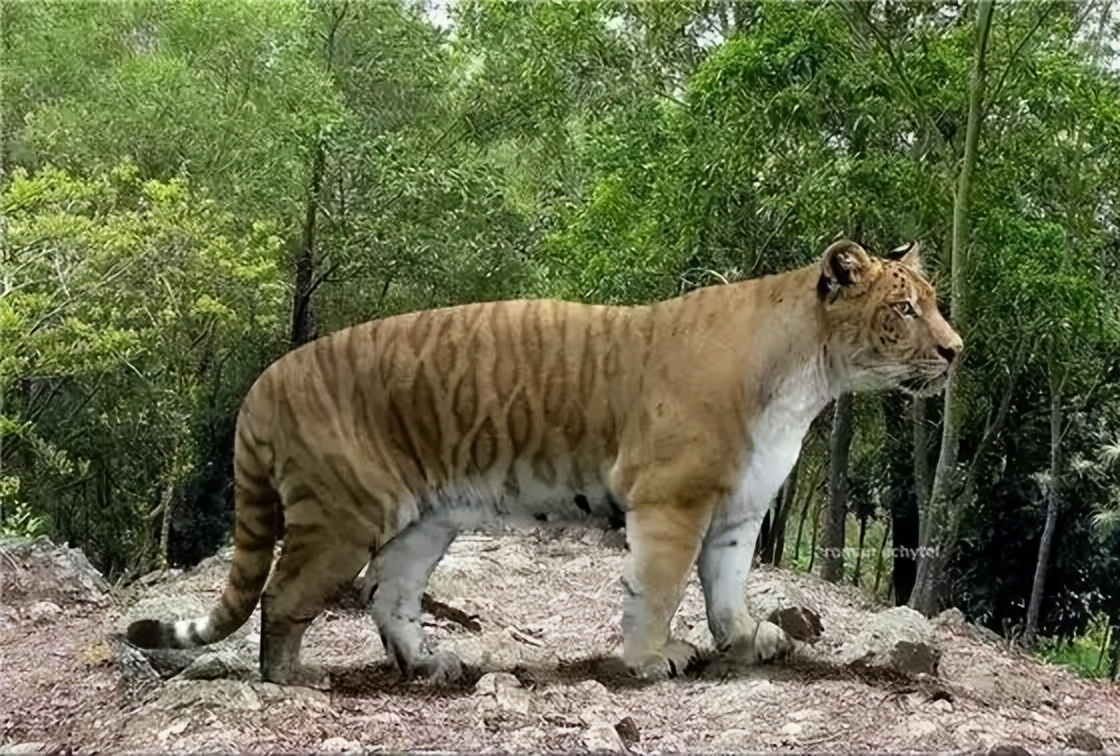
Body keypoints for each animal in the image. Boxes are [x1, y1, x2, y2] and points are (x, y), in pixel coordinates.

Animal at [126, 239, 962, 687]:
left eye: (933, 300)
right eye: (906, 309)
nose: (957, 351)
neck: (810, 379)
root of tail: (264, 379)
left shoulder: (737, 510)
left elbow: (726, 590)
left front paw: (749, 642)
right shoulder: (672, 499)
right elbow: (658, 587)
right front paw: (652, 659)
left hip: (423, 523)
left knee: (385, 595)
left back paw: (432, 664)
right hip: (341, 514)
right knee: (284, 596)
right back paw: (293, 680)